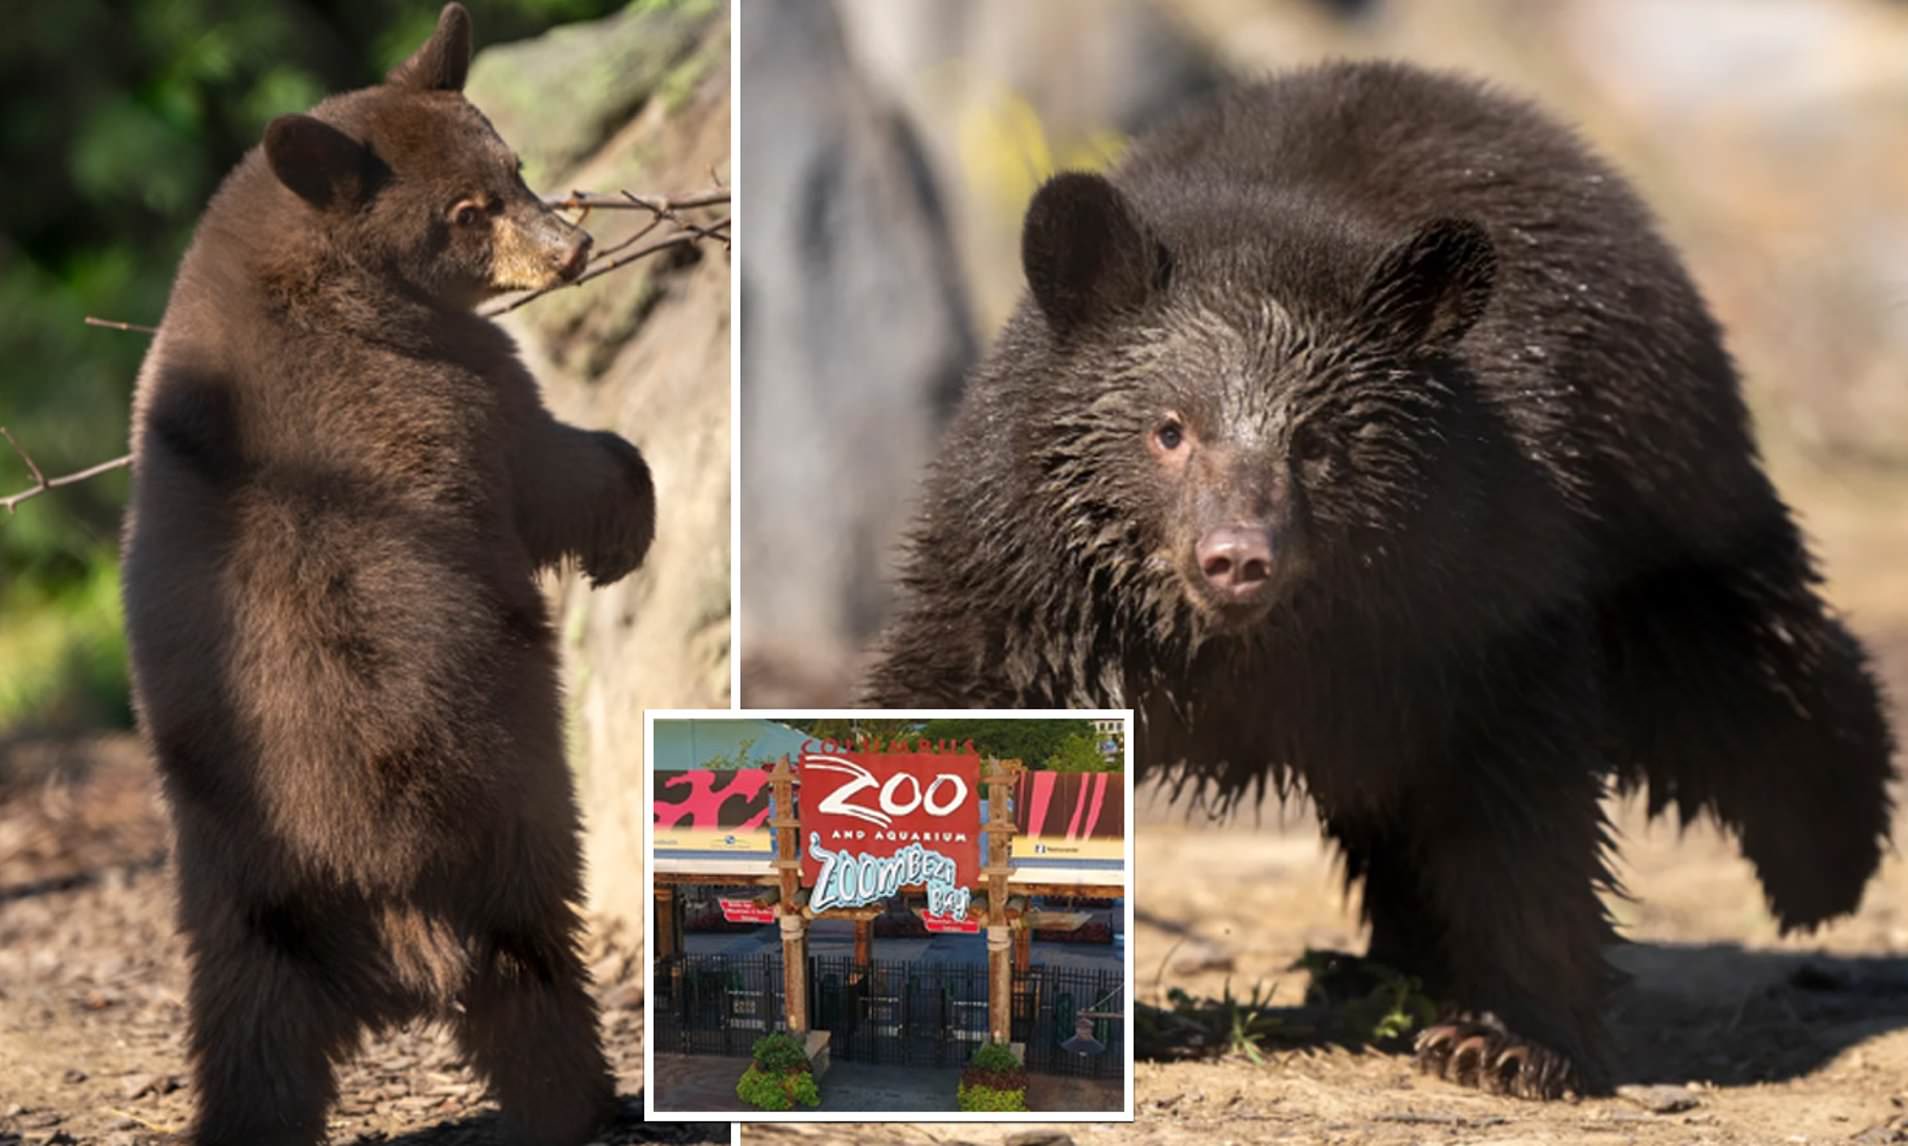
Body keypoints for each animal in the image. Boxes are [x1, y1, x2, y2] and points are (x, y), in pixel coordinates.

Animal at [118, 6, 653, 1144]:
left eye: (515, 167)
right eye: (466, 211)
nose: (574, 246)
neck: (314, 276)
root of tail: (391, 933)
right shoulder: (459, 382)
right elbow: (546, 465)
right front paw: (625, 523)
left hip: (244, 913)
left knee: (251, 1042)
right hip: (512, 827)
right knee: (535, 979)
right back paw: (588, 1099)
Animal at [864, 60, 1897, 1098]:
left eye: (1318, 442)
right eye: (1169, 429)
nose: (1237, 556)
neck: (1238, 643)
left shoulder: (1473, 579)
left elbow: (1523, 795)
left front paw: (1506, 1041)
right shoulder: (1029, 581)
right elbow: (955, 690)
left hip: (1654, 481)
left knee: (1735, 668)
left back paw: (1827, 860)